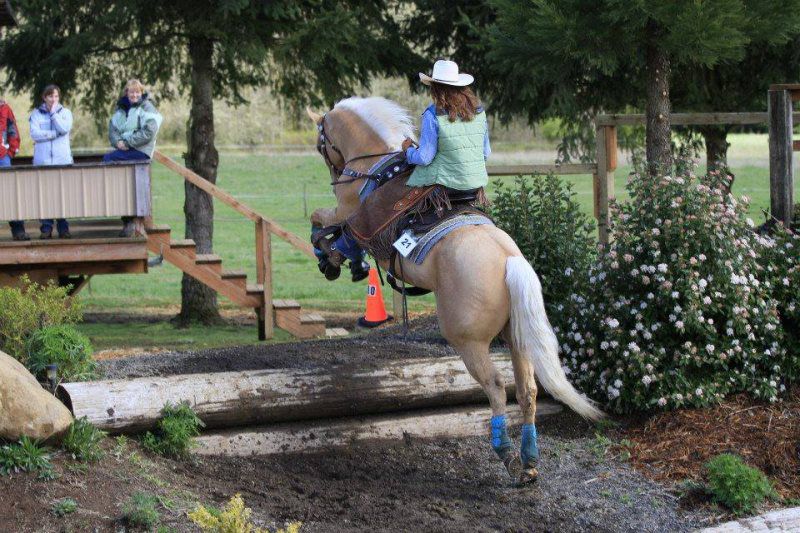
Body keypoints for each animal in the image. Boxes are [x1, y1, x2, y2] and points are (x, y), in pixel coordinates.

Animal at [307, 96, 603, 484]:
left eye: (322, 144)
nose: (334, 174)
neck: (373, 163)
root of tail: (509, 259)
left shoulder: (349, 217)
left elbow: (322, 223)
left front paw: (330, 259)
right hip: (517, 337)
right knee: (528, 390)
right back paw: (529, 460)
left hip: (468, 342)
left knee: (496, 386)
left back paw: (507, 455)